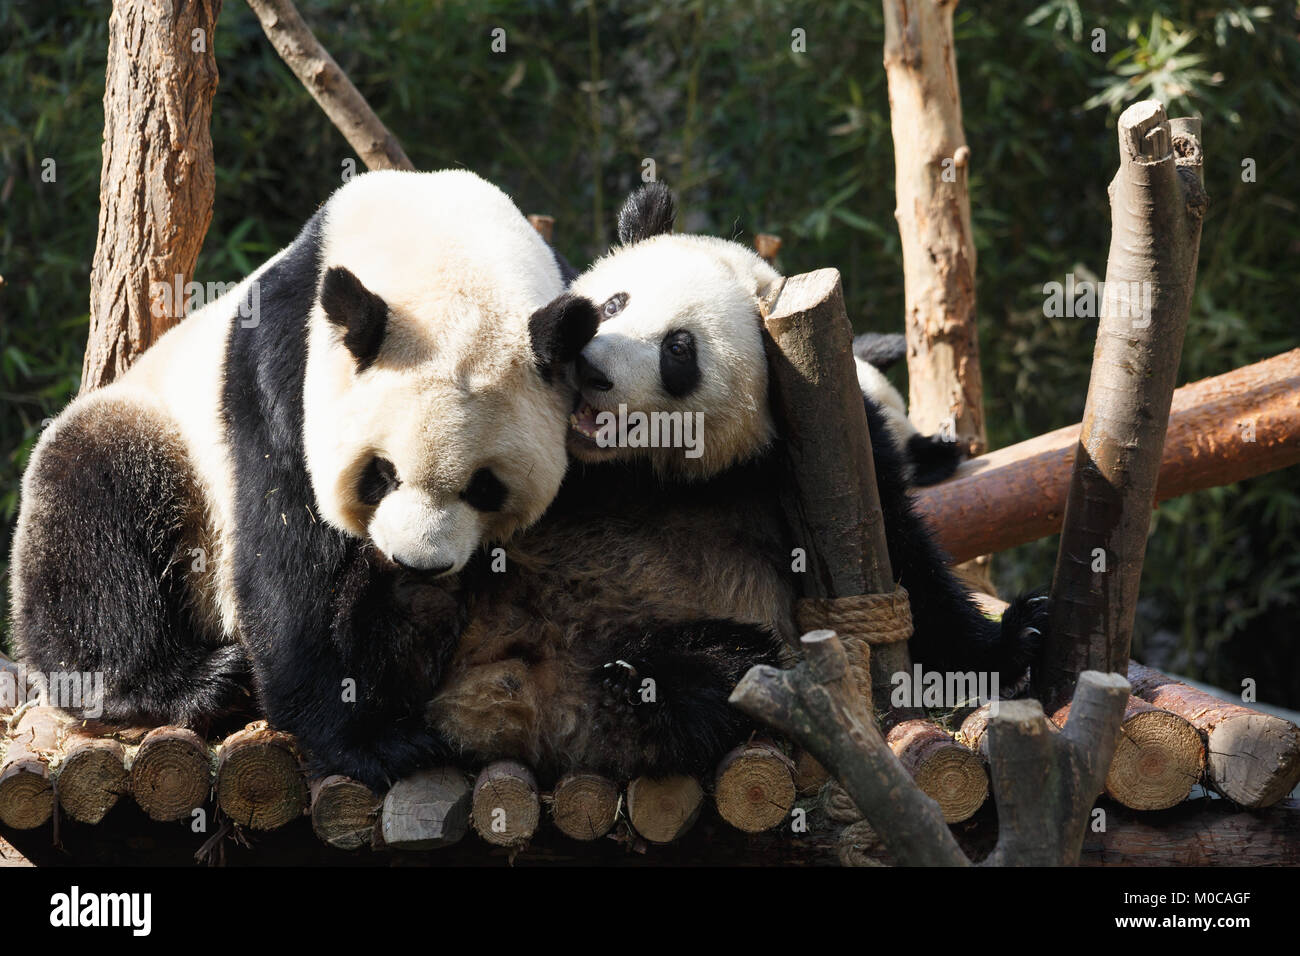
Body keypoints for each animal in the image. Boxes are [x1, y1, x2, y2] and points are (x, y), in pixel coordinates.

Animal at [10, 169, 597, 790]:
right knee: (92, 522)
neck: (441, 232)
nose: (418, 564)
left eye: (485, 486)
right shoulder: (283, 364)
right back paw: (188, 682)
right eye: (380, 474)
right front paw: (371, 741)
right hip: (164, 440)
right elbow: (287, 549)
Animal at [423, 184, 1045, 782]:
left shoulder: (823, 449)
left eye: (678, 349)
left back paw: (641, 686)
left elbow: (907, 562)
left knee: (737, 664)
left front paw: (1017, 642)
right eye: (613, 303)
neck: (642, 471)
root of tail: (515, 710)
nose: (591, 369)